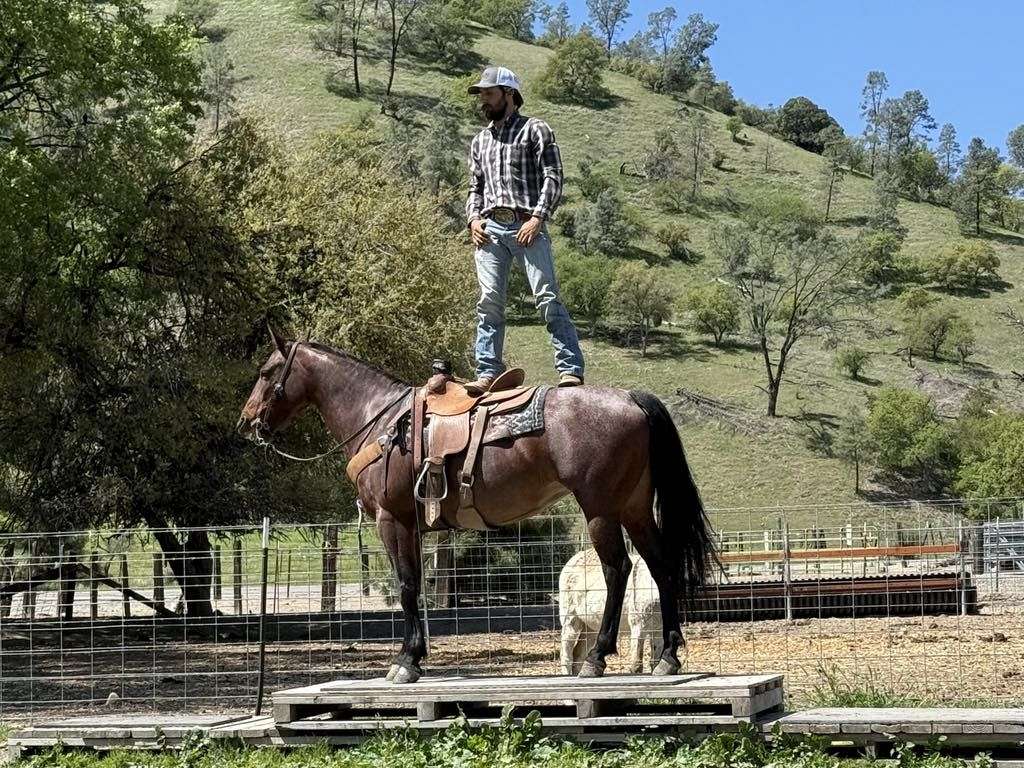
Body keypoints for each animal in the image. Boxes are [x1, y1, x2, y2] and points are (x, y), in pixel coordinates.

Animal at [237, 326, 716, 684]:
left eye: (266, 370)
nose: (247, 422)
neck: (380, 419)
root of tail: (631, 398)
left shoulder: (393, 520)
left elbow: (407, 585)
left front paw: (404, 662)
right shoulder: (413, 527)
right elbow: (418, 587)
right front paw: (416, 656)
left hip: (600, 509)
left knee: (617, 569)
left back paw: (598, 658)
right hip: (634, 508)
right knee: (660, 565)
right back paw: (668, 656)